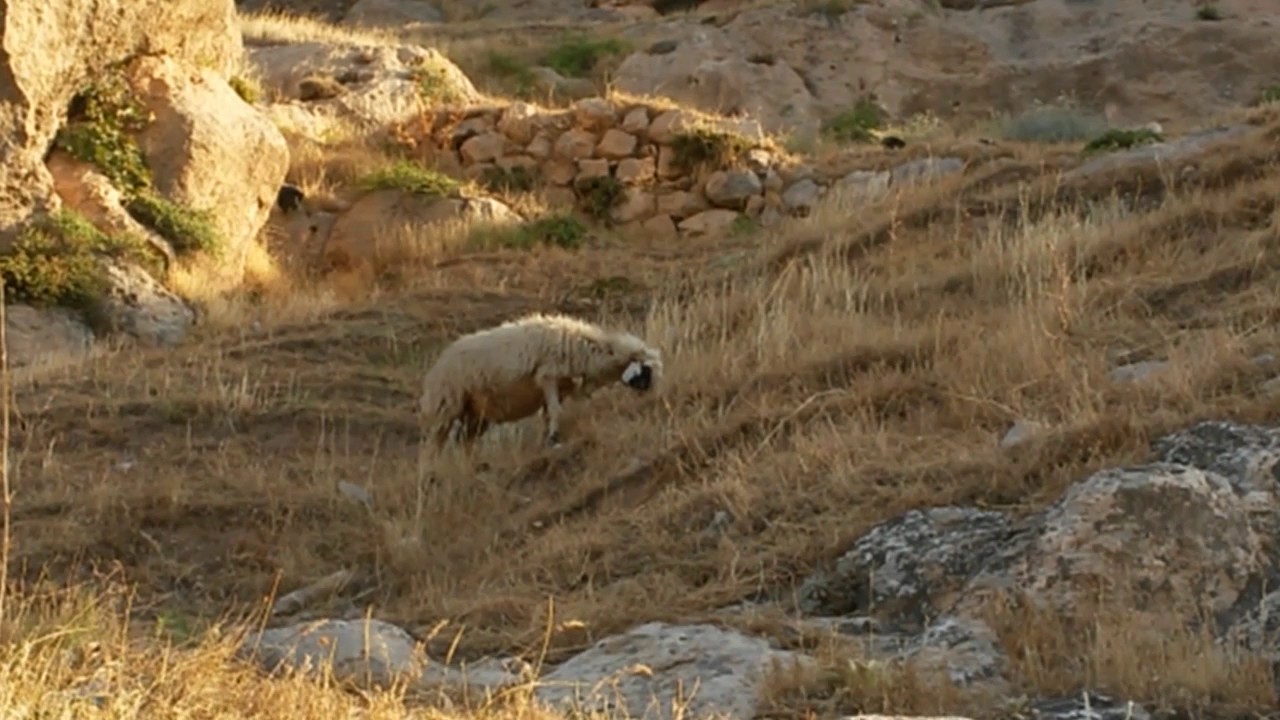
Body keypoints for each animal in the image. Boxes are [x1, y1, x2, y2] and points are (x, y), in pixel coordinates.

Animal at [417, 312, 663, 451]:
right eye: (646, 371)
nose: (650, 395)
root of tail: (436, 366)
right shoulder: (548, 376)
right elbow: (554, 411)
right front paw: (554, 440)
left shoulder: (559, 387)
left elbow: (548, 414)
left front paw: (548, 437)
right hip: (446, 405)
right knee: (433, 445)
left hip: (476, 413)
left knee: (464, 441)